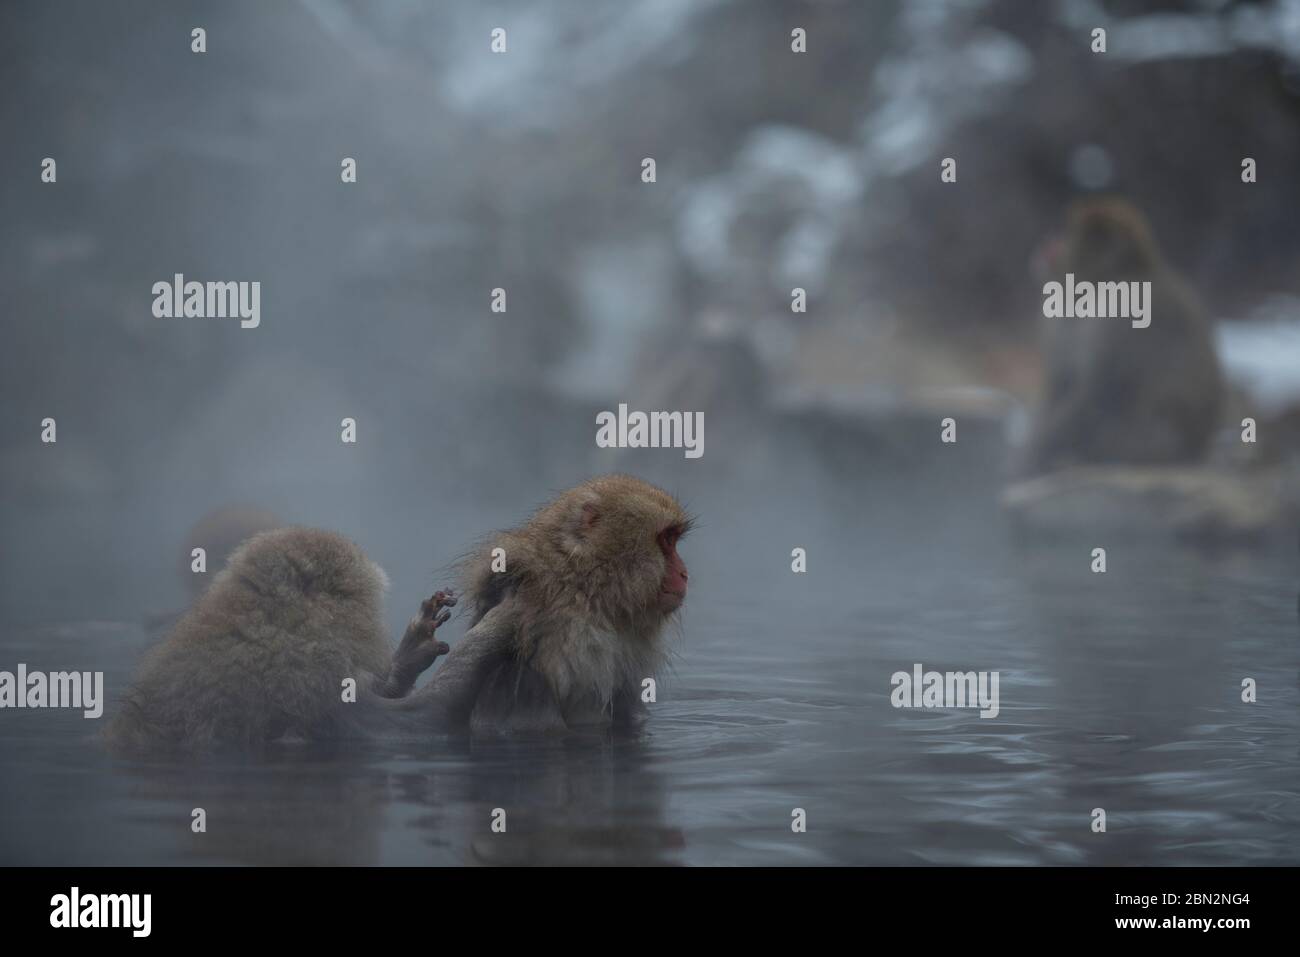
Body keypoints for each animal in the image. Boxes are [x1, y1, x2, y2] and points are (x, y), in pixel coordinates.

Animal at [1018, 197, 1225, 476]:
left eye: (1065, 233)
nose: (1048, 240)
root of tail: (1200, 448)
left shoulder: (1117, 321)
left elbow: (1095, 394)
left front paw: (1030, 457)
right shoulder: (1055, 325)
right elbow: (1058, 386)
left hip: (1154, 444)